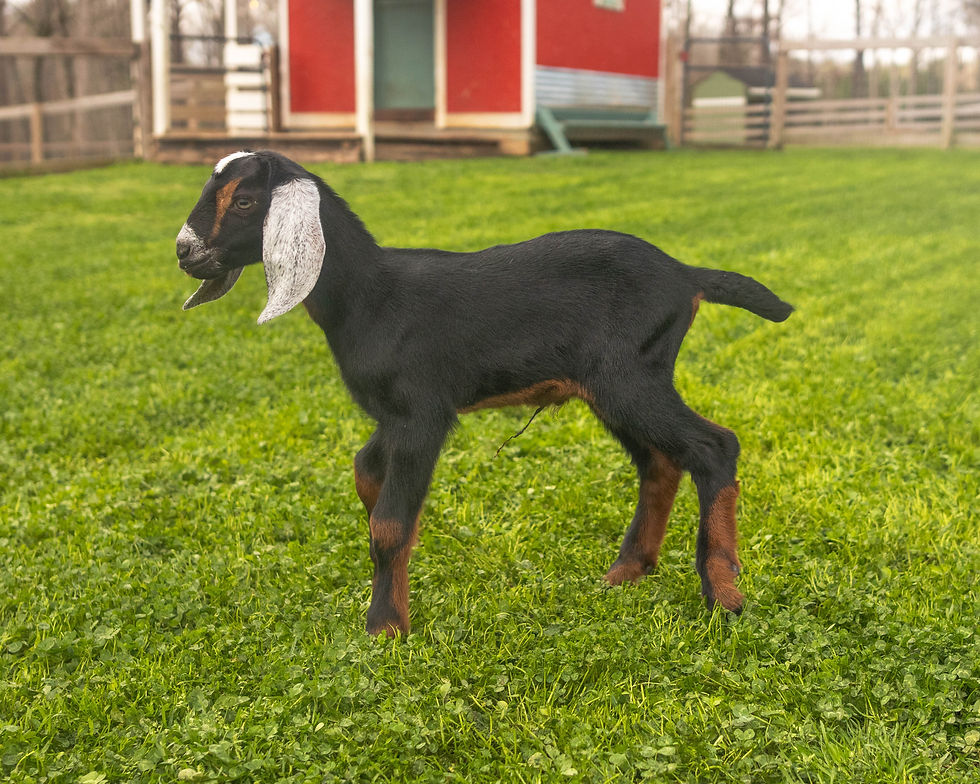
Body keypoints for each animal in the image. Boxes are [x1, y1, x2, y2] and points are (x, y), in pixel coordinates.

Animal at [176, 150, 793, 637]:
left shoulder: (422, 415)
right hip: (619, 384)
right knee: (661, 462)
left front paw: (385, 627)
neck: (370, 295)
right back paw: (628, 571)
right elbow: (366, 477)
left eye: (245, 202)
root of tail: (686, 276)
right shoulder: (392, 419)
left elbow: (390, 524)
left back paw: (723, 591)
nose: (184, 251)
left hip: (630, 376)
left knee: (714, 445)